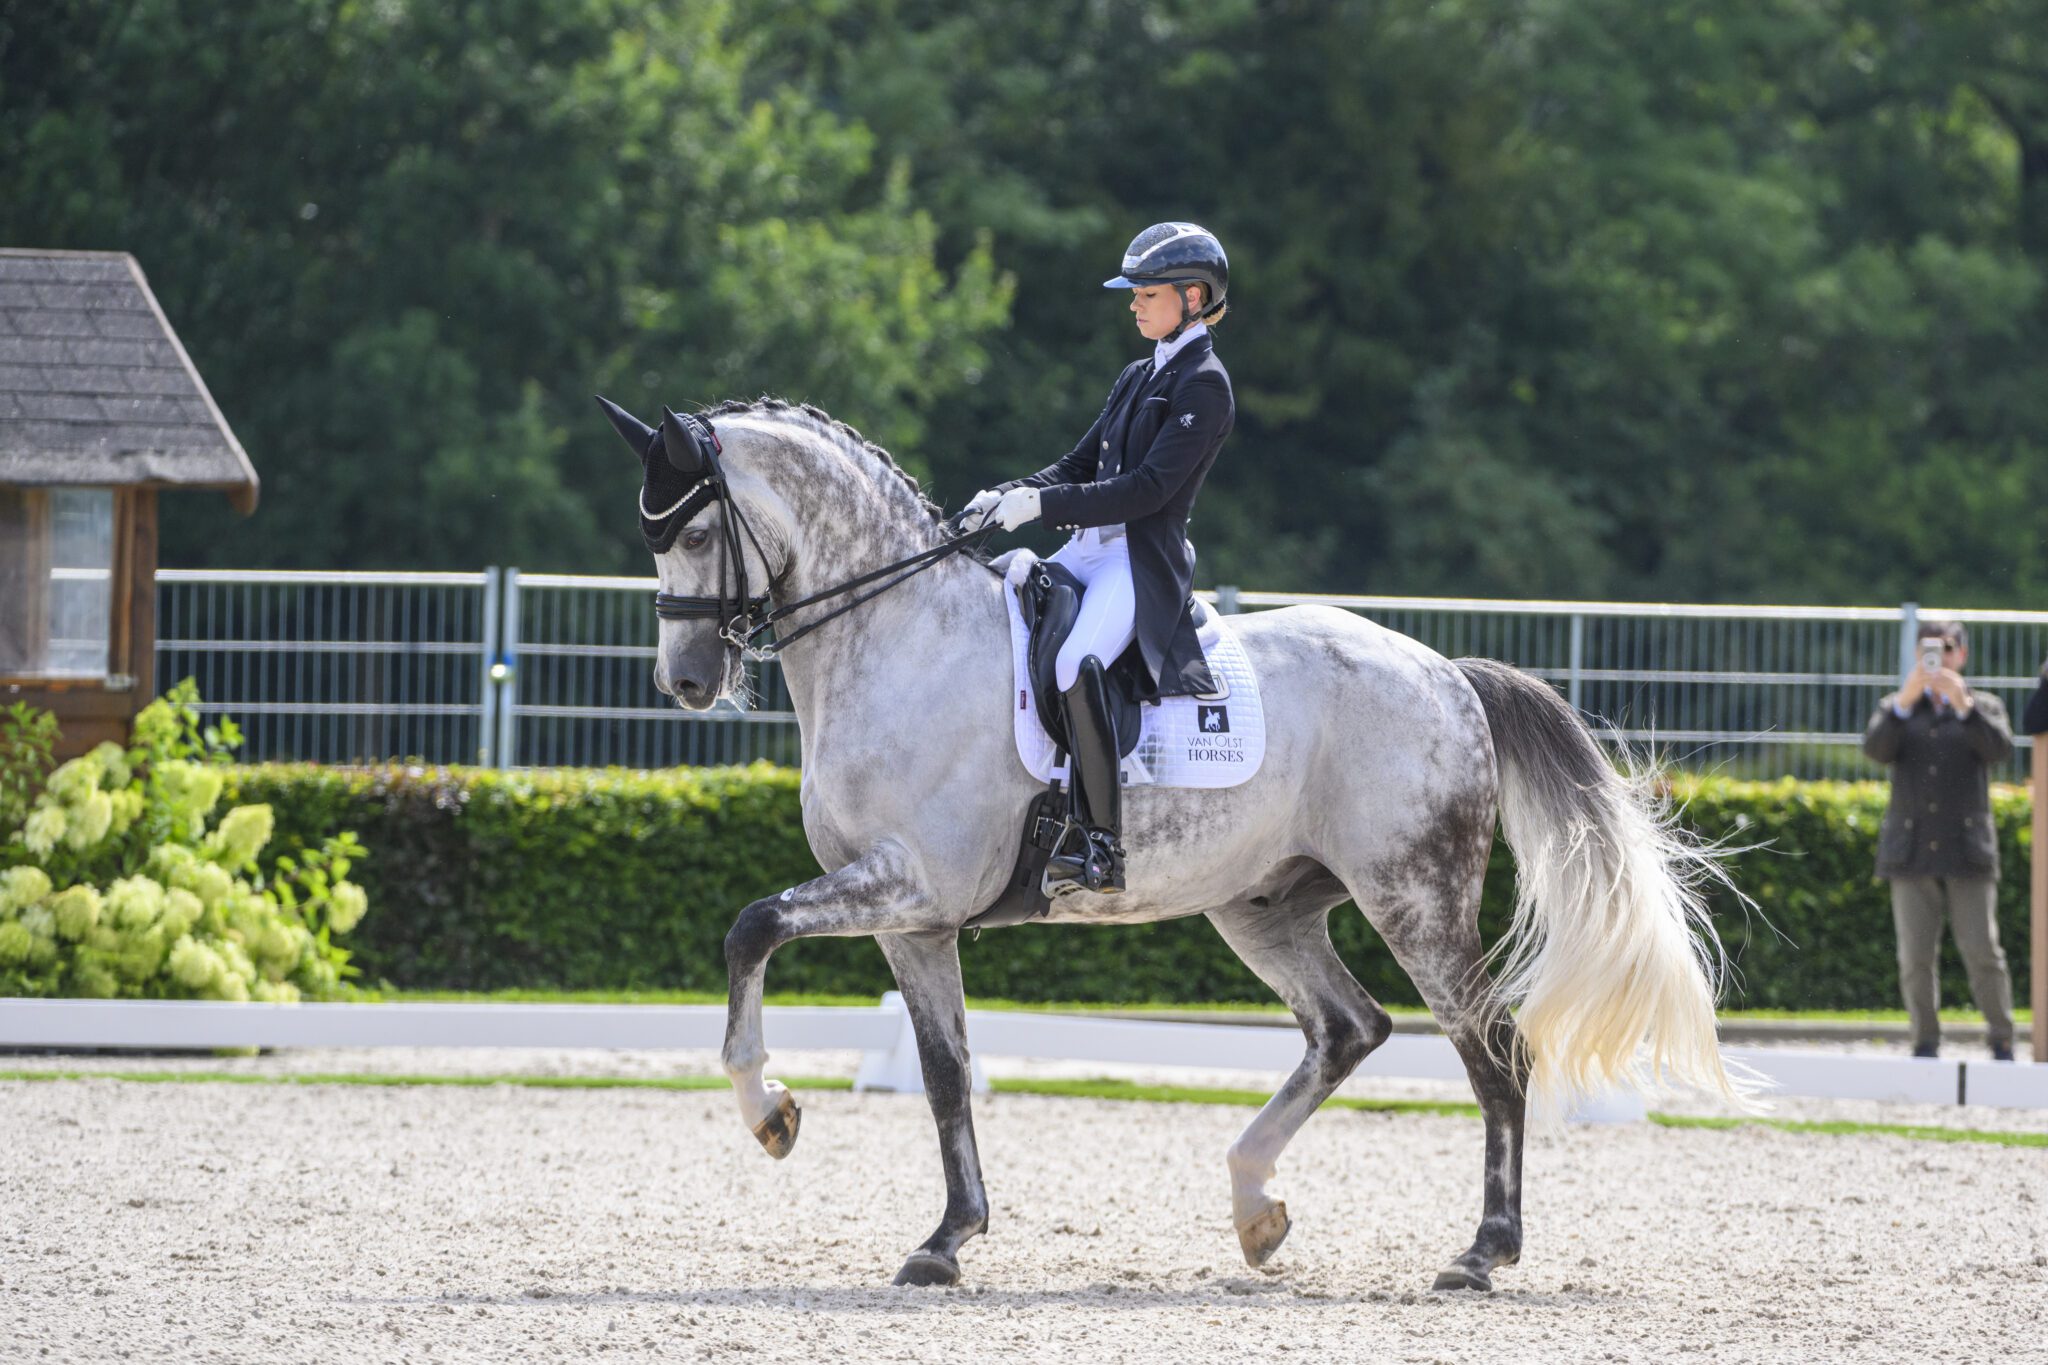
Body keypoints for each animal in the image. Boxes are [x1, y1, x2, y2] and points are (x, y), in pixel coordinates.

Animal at [599, 395, 1746, 1292]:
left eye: (691, 535)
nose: (686, 681)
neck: (895, 641)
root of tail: (1447, 674)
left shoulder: (906, 883)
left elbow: (752, 927)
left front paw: (768, 1112)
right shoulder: (915, 919)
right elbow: (943, 1072)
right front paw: (946, 1241)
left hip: (1411, 898)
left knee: (1491, 1046)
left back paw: (1480, 1253)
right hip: (1263, 907)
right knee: (1348, 1029)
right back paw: (1255, 1208)